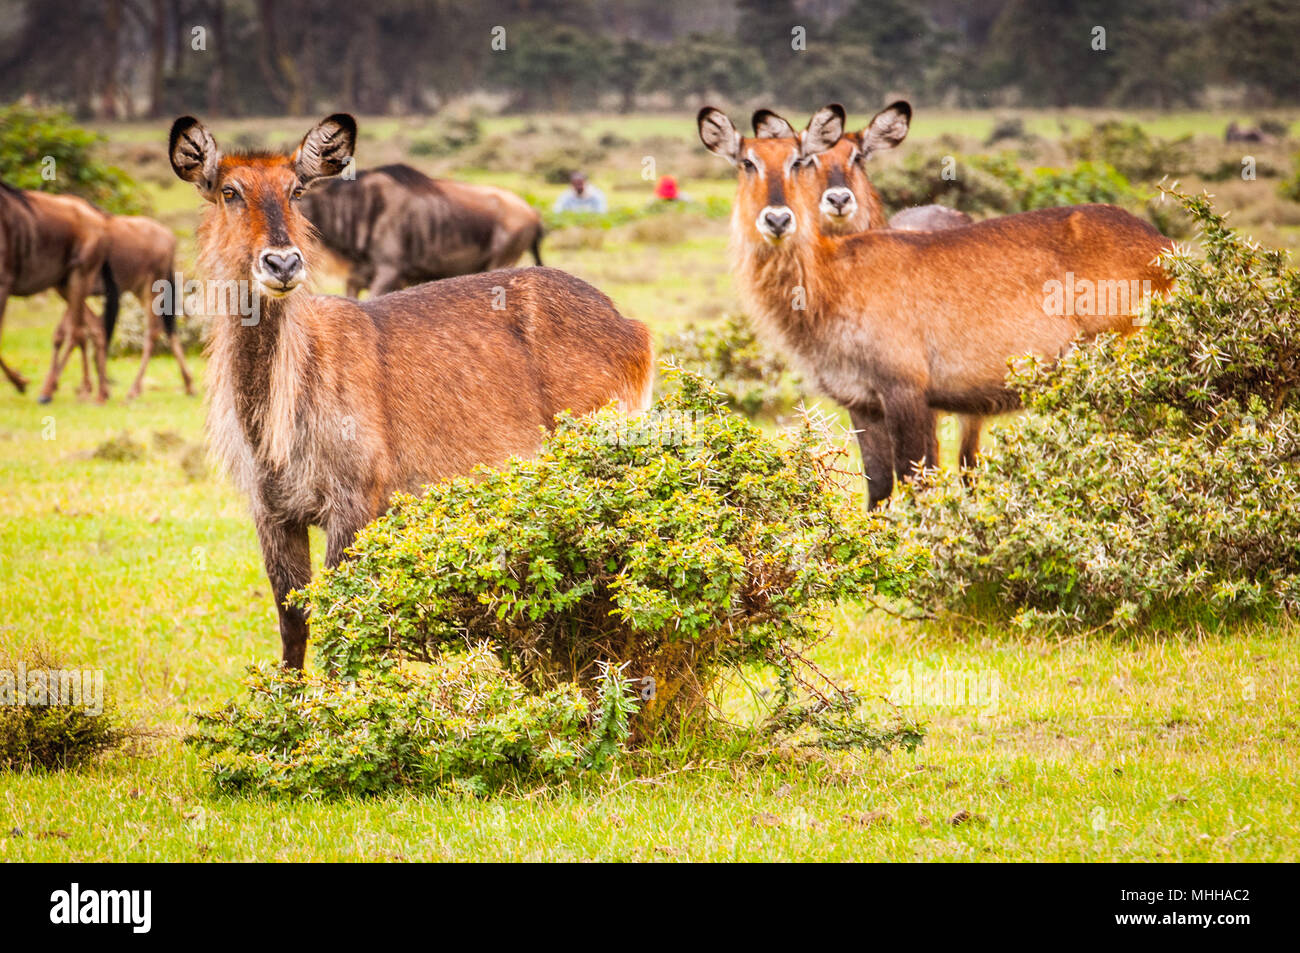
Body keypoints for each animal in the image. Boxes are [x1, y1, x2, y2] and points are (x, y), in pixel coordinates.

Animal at [0, 182, 119, 403]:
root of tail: (99, 215)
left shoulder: (4, 284)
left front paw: (20, 382)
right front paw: (20, 381)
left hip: (80, 276)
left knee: (77, 332)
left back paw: (49, 391)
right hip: (64, 284)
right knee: (93, 327)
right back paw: (100, 393)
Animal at [169, 113, 653, 668]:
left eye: (296, 191)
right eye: (229, 191)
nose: (283, 263)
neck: (275, 418)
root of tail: (630, 324)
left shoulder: (356, 503)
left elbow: (338, 621)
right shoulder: (272, 515)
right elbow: (294, 629)